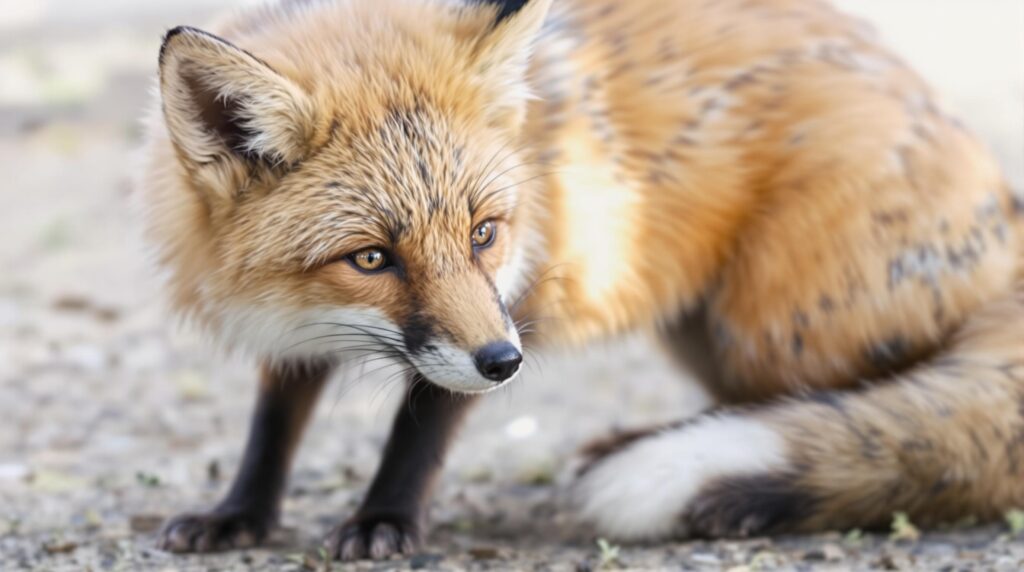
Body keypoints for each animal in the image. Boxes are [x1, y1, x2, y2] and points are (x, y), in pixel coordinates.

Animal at [139, 0, 1024, 561]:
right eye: (371, 259)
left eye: (484, 233)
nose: (505, 365)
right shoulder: (294, 318)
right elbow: (274, 419)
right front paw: (240, 515)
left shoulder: (516, 294)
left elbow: (421, 422)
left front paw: (384, 516)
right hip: (702, 329)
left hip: (772, 321)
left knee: (889, 411)